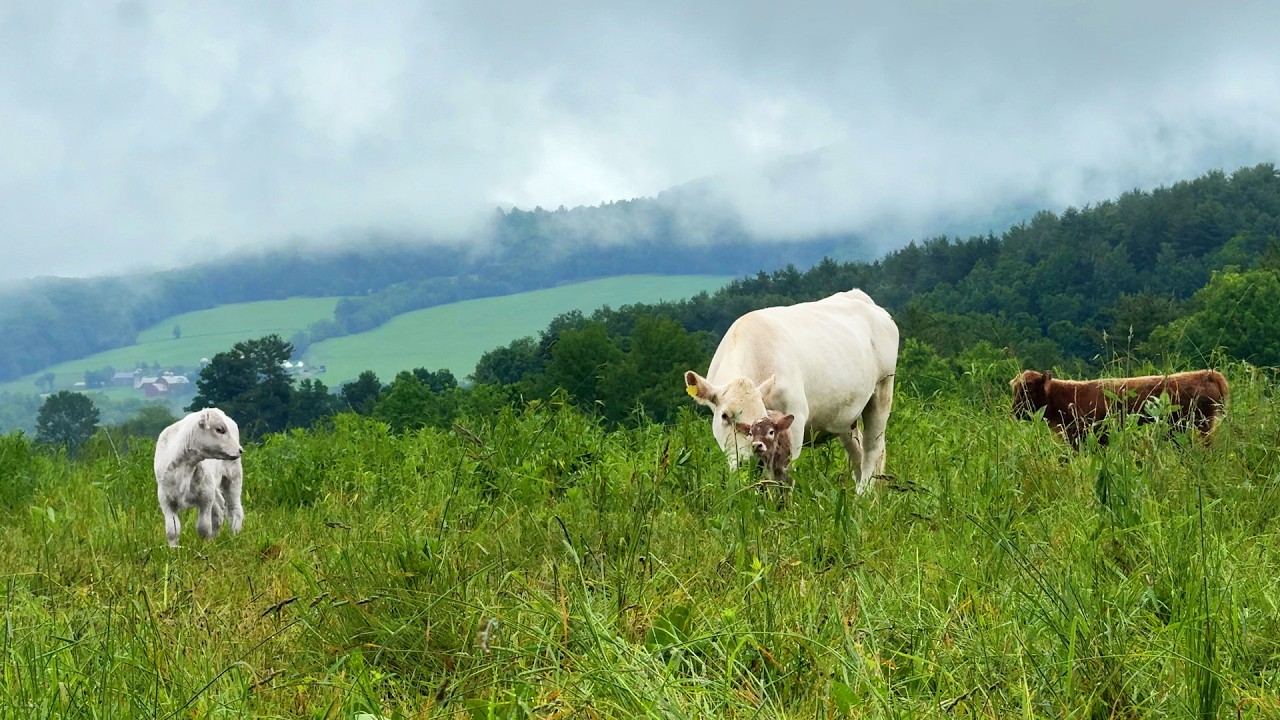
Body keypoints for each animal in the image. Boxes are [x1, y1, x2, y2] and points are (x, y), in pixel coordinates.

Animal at [154, 407, 245, 547]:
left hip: (232, 477)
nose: (240, 450)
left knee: (234, 510)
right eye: (219, 429)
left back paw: (234, 538)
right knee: (219, 510)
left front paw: (204, 547)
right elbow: (172, 529)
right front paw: (174, 549)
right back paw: (214, 540)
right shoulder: (165, 498)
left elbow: (203, 527)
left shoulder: (205, 497)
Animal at [684, 288, 899, 493]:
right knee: (858, 452)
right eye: (725, 416)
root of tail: (859, 296)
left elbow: (786, 473)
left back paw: (864, 494)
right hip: (845, 416)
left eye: (762, 416)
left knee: (872, 449)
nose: (751, 460)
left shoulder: (795, 418)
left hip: (882, 389)